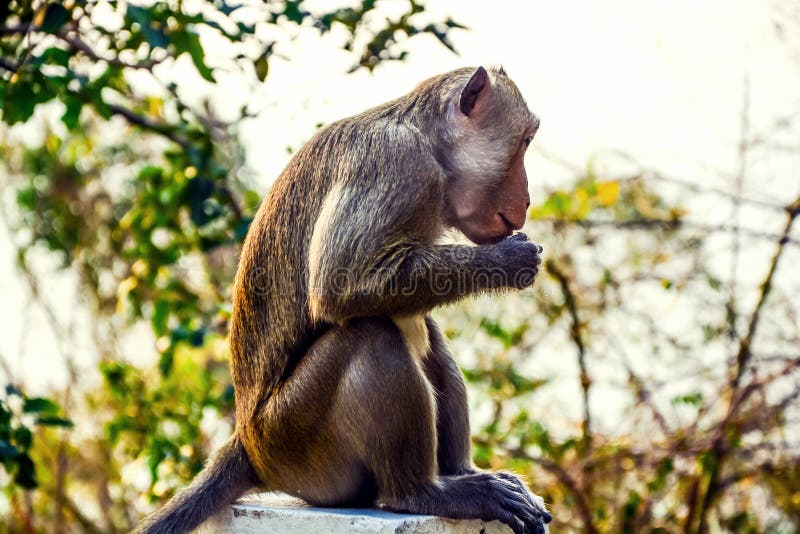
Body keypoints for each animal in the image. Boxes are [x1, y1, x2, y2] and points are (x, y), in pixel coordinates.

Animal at [134, 65, 551, 534]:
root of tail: (247, 444)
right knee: (370, 334)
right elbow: (341, 284)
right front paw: (509, 261)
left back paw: (460, 474)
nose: (528, 198)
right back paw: (422, 493)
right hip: (295, 441)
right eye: (525, 141)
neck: (430, 142)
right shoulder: (398, 165)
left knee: (421, 333)